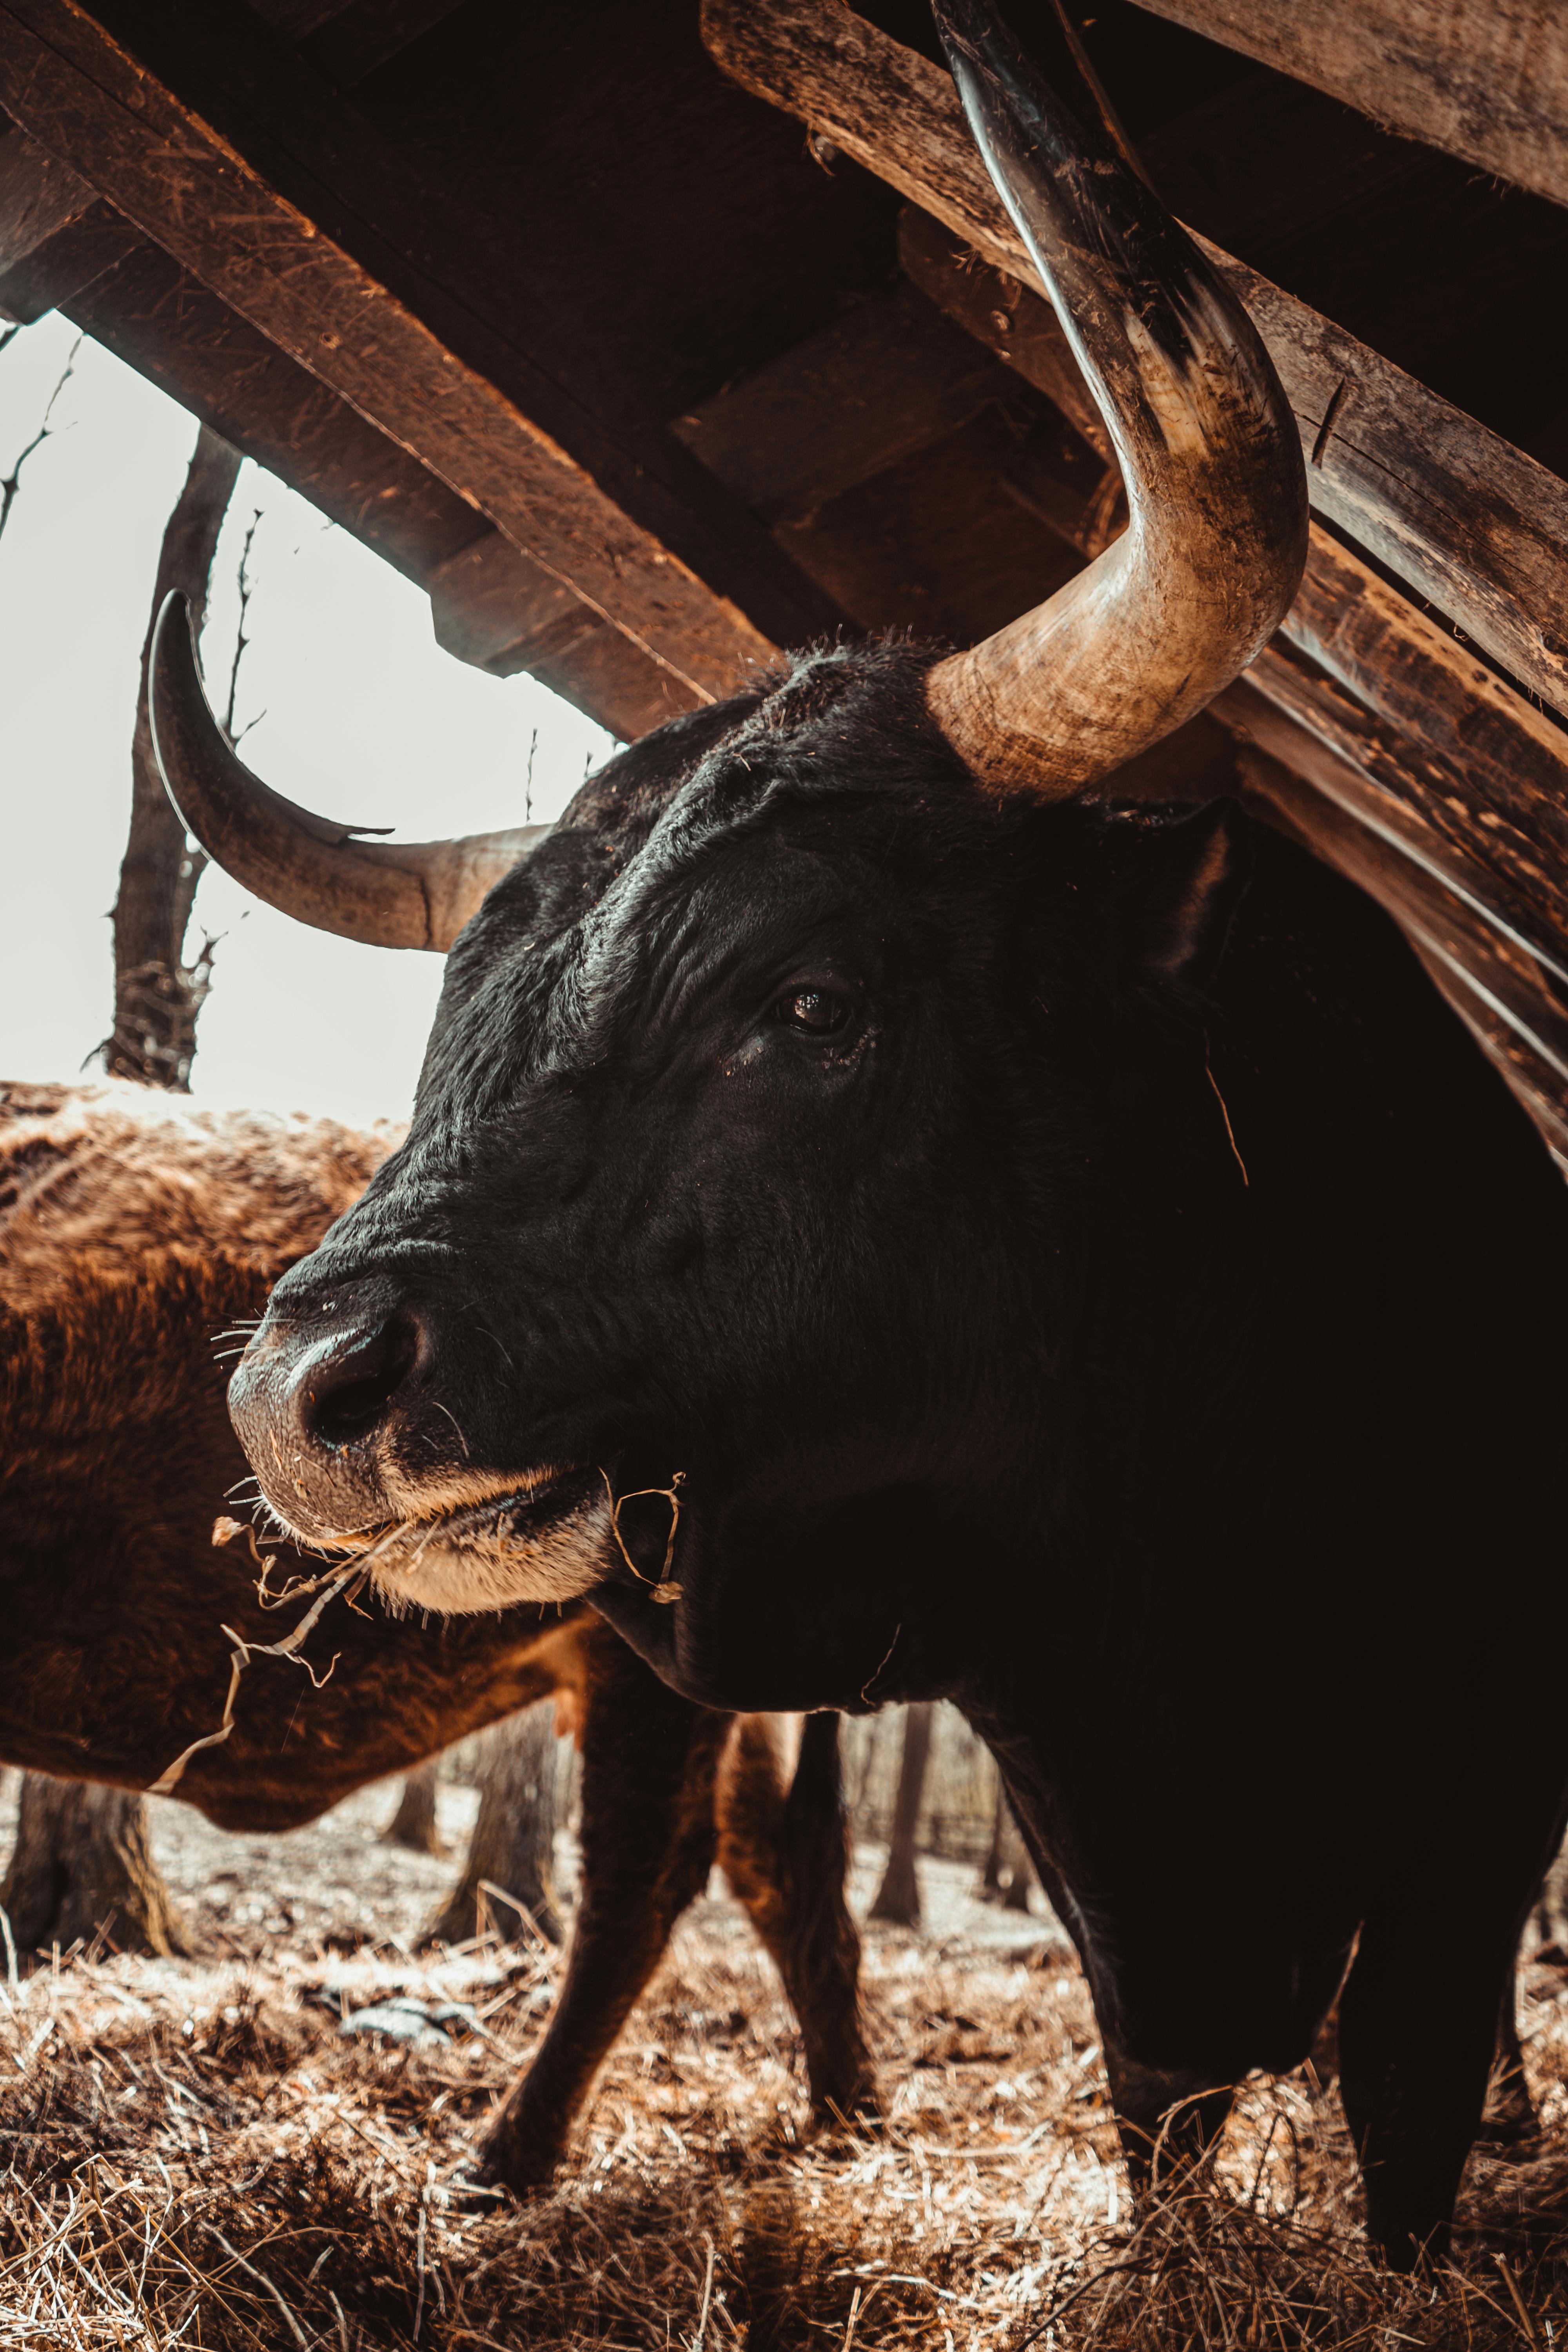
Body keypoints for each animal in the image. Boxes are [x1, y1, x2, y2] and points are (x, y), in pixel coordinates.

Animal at [147, 0, 1568, 2268]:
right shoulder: (1097, 1848)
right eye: (457, 1022)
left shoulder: (1469, 1820)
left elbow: (1412, 2096)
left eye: (809, 1004)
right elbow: (1160, 2102)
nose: (307, 1391)